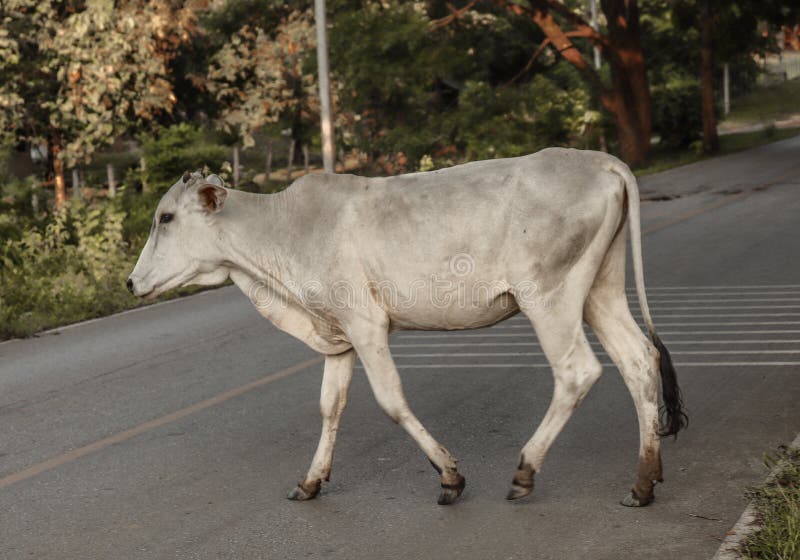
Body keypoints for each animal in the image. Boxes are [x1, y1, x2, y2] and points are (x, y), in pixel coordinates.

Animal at [128, 147, 687, 507]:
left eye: (167, 218)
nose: (131, 283)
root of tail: (601, 160)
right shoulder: (339, 338)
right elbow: (330, 406)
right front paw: (311, 482)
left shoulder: (365, 322)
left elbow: (391, 400)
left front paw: (450, 477)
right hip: (599, 290)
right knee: (639, 360)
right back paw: (643, 482)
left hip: (550, 297)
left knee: (578, 372)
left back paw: (527, 471)